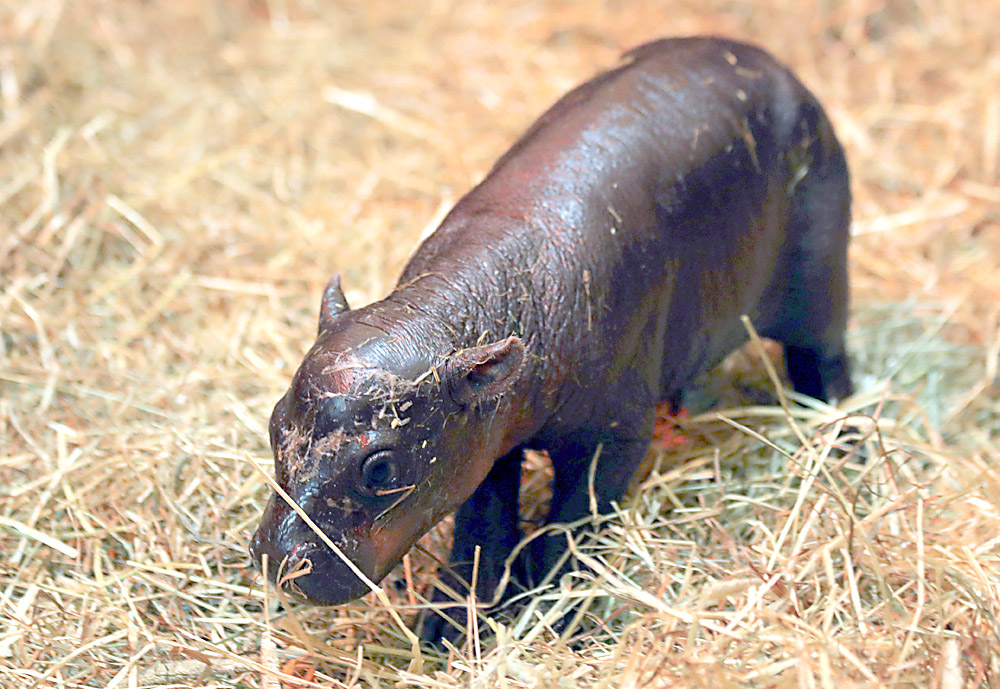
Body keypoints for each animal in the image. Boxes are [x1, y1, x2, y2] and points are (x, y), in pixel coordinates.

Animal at [249, 35, 852, 643]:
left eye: (381, 468)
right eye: (275, 423)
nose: (278, 561)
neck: (448, 311)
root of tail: (776, 65)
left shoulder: (614, 437)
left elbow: (573, 526)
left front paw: (550, 617)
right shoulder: (485, 438)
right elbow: (482, 528)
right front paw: (447, 629)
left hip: (821, 282)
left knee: (825, 361)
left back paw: (844, 443)